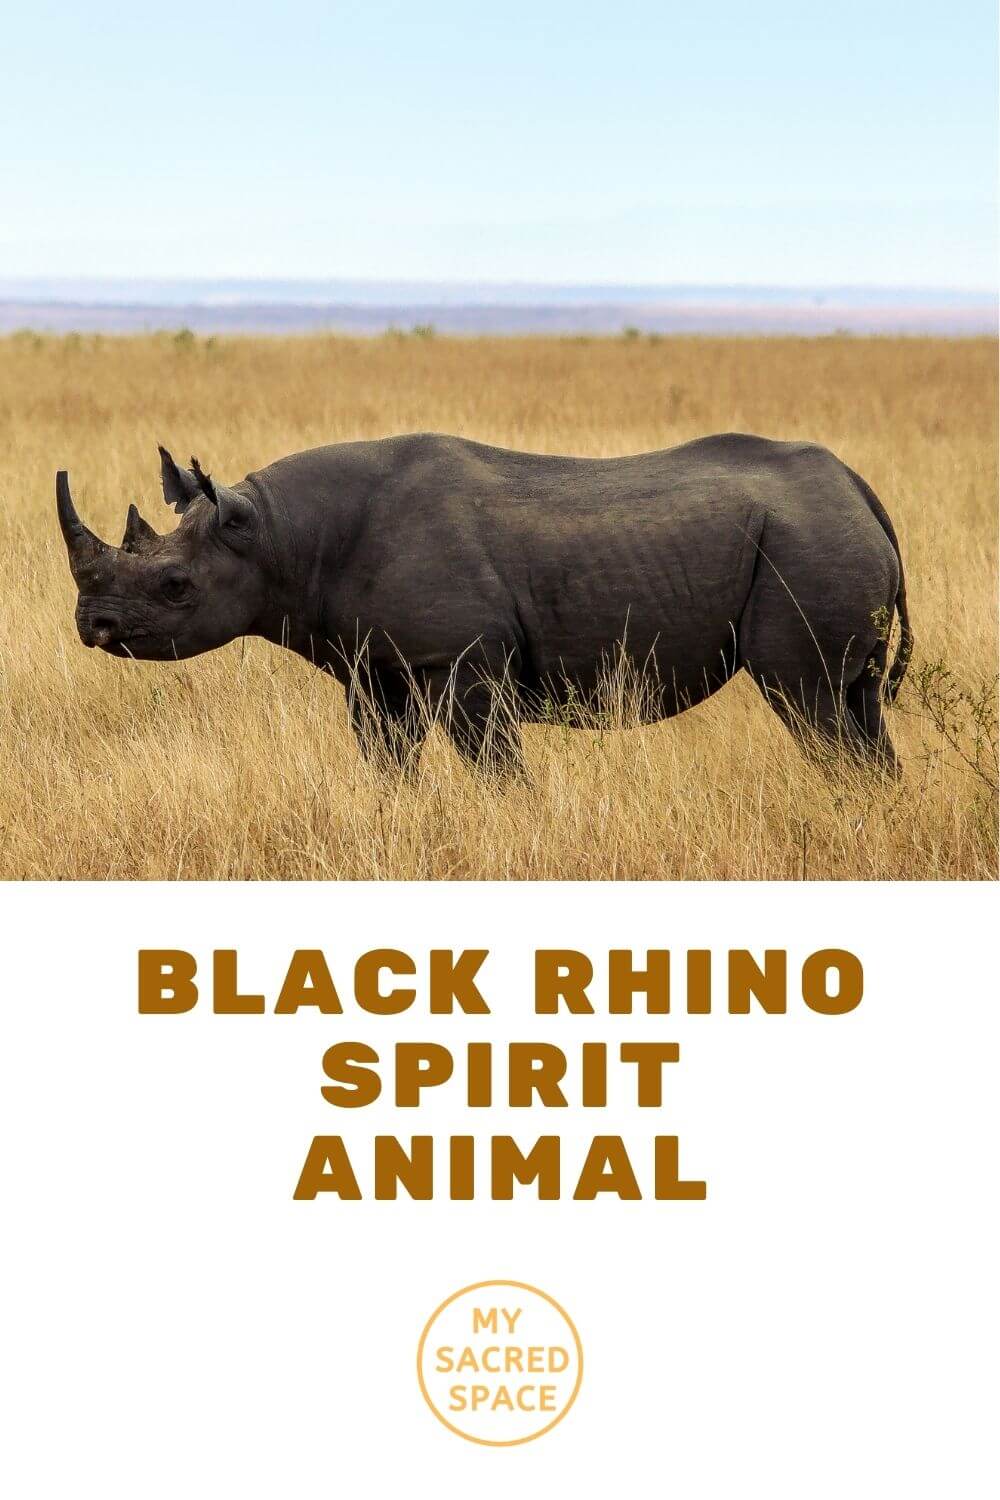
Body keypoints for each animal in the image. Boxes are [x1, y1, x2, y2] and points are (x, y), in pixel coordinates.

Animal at [56, 431, 912, 777]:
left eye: (175, 586)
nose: (92, 626)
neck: (276, 534)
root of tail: (860, 491)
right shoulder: (376, 666)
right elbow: (387, 760)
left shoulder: (462, 660)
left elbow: (494, 765)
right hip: (821, 536)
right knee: (857, 709)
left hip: (807, 544)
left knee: (808, 703)